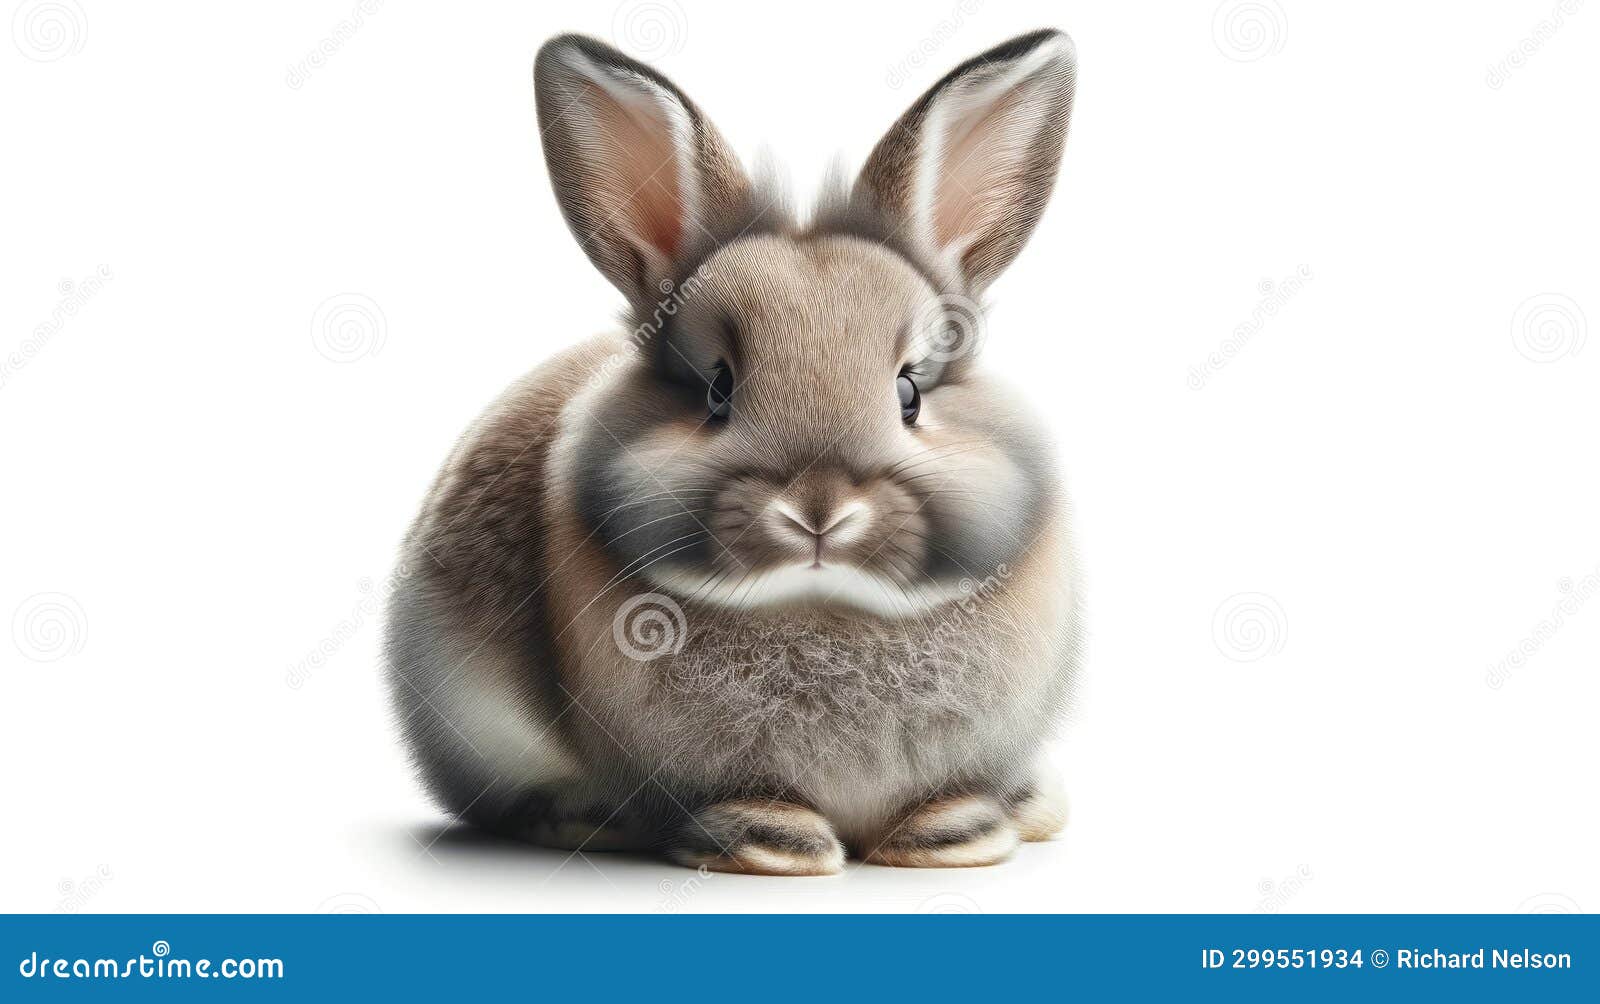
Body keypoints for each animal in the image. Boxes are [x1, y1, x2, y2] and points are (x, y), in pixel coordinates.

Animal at [386, 28, 1081, 875]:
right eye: (718, 390)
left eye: (910, 391)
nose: (819, 512)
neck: (822, 607)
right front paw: (774, 844)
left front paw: (955, 833)